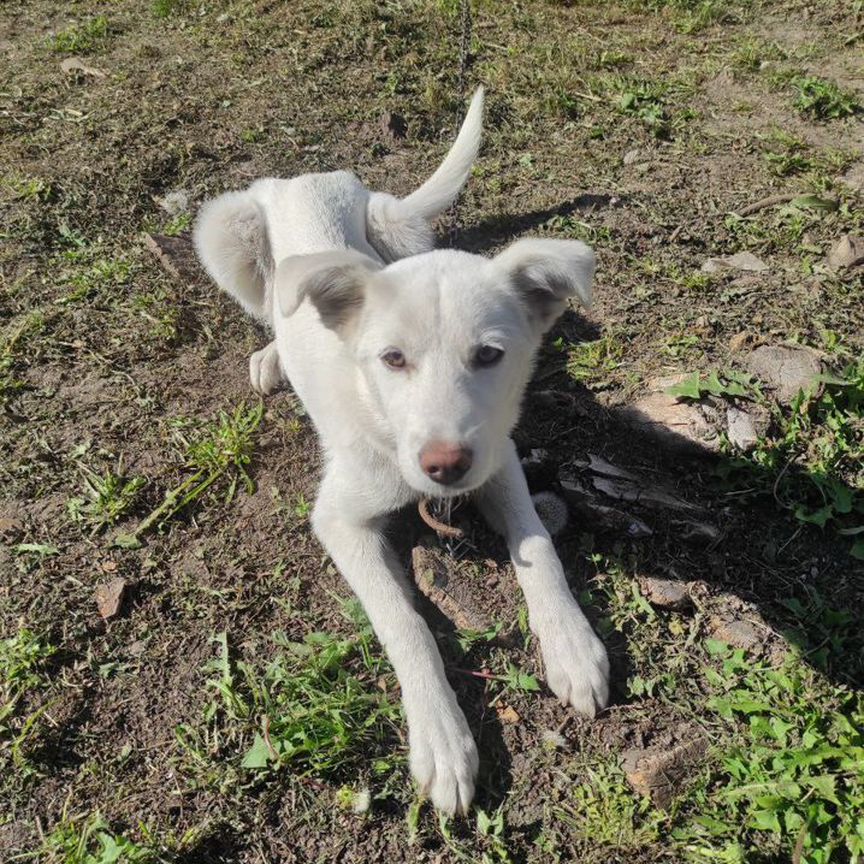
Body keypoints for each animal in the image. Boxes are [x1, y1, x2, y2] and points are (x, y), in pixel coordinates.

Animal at [194, 91, 608, 812]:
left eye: (490, 356)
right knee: (269, 301)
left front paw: (571, 643)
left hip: (399, 228)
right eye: (392, 359)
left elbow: (538, 544)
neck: (387, 425)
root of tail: (306, 178)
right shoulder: (339, 521)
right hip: (229, 230)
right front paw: (442, 736)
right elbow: (405, 625)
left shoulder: (497, 459)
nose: (445, 468)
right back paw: (273, 351)